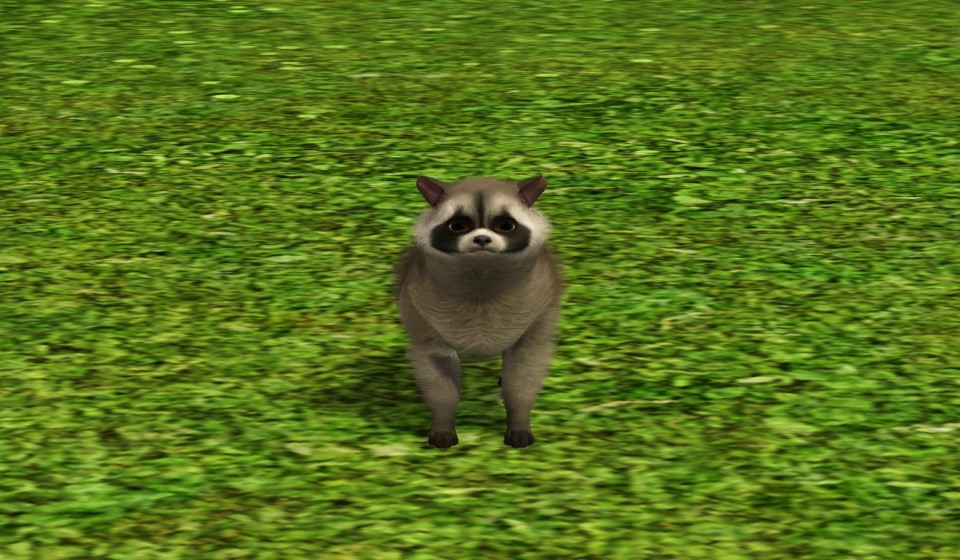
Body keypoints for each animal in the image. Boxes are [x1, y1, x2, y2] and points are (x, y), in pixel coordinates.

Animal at [394, 175, 563, 448]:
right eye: (457, 226)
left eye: (505, 225)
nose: (482, 239)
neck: (482, 271)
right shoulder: (417, 305)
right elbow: (436, 368)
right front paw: (442, 422)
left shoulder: (542, 305)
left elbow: (524, 368)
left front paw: (519, 420)